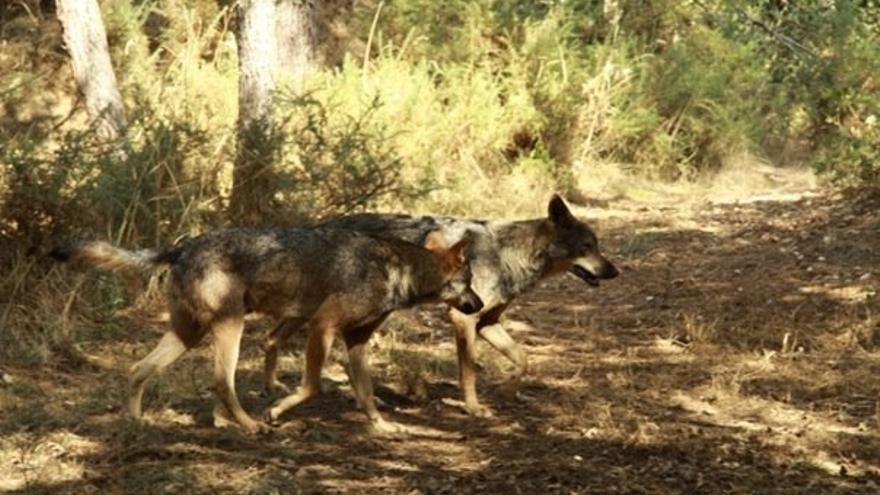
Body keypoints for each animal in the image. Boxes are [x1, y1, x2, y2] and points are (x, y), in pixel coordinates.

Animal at [50, 227, 482, 433]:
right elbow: (312, 387)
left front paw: (383, 427)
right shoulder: (322, 325)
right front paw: (275, 411)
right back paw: (252, 426)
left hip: (189, 335)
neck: (400, 270)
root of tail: (182, 246)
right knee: (221, 382)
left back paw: (139, 422)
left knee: (139, 370)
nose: (479, 306)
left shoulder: (356, 341)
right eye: (470, 281)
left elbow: (367, 395)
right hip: (231, 328)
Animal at [262, 195, 619, 417]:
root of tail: (320, 225)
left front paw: (508, 393)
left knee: (273, 337)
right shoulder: (464, 320)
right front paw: (474, 408)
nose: (615, 271)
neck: (508, 255)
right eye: (588, 246)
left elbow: (524, 360)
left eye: (597, 246)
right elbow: (469, 373)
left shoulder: (488, 323)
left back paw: (278, 387)